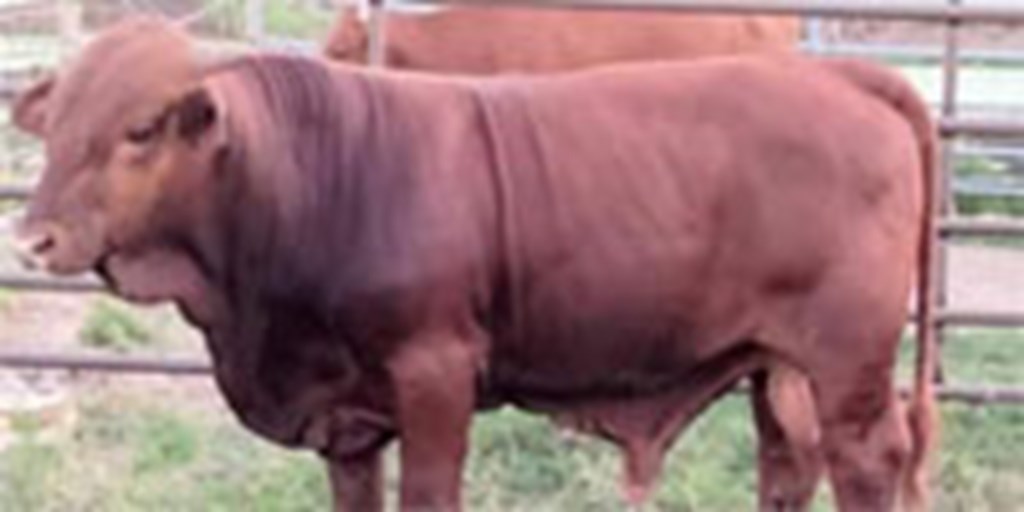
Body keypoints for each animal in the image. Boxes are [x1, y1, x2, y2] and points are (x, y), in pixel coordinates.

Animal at [12, 18, 936, 512]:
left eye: (139, 128)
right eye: (53, 124)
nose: (32, 239)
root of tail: (846, 77)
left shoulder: (436, 372)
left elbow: (429, 493)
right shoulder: (345, 421)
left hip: (847, 363)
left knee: (867, 461)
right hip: (776, 368)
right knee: (790, 463)